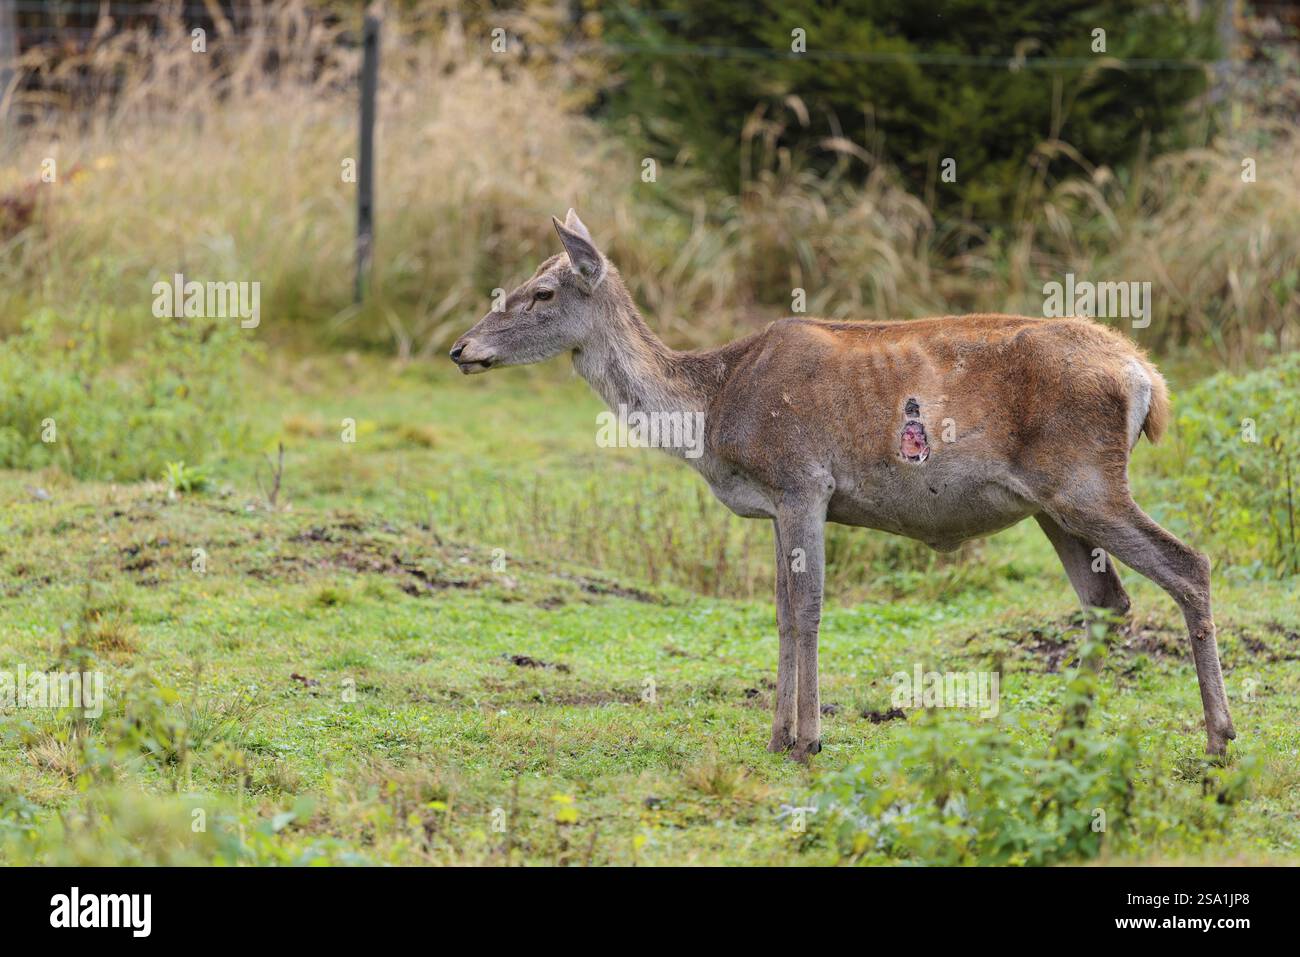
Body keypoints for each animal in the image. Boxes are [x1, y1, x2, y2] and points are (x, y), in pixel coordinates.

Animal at [451, 210, 1235, 763]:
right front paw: (774, 736)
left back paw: (1219, 739)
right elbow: (778, 610)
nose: (462, 348)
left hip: (1087, 481)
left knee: (1189, 565)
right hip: (1054, 504)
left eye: (542, 291)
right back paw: (1073, 743)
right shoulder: (775, 506)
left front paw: (807, 740)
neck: (710, 412)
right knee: (1107, 601)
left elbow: (810, 608)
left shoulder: (804, 481)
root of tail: (1146, 379)